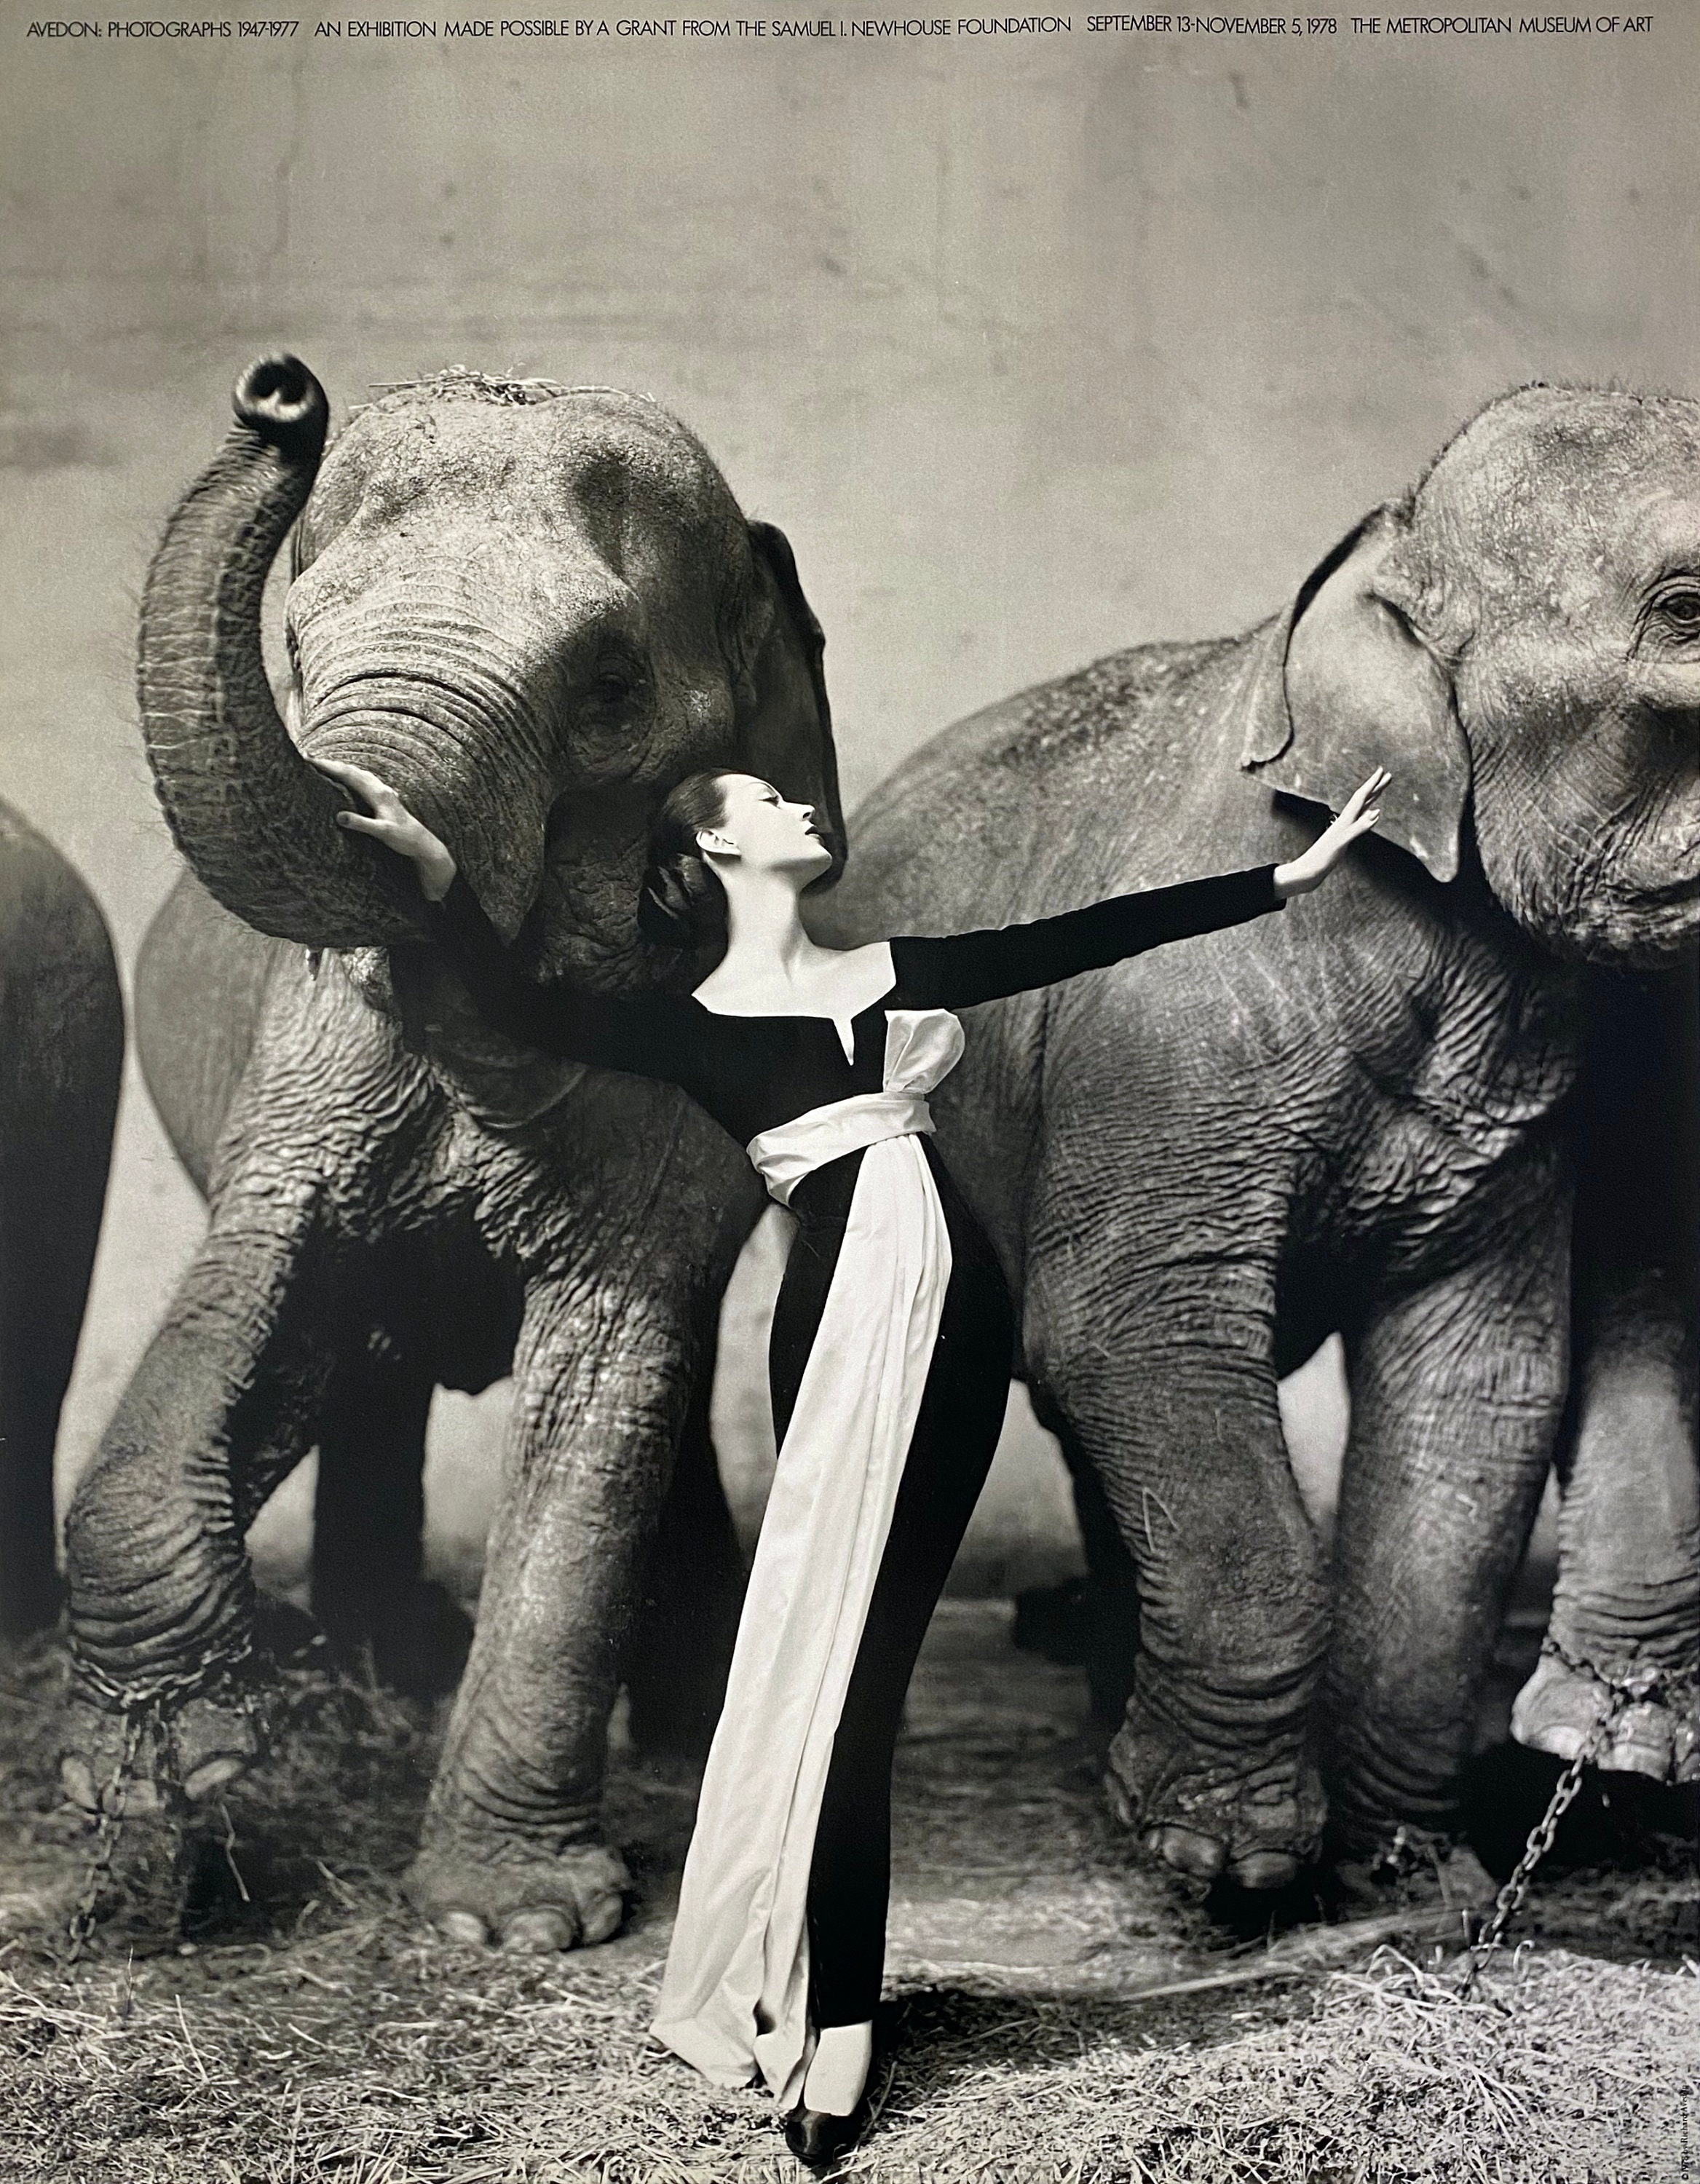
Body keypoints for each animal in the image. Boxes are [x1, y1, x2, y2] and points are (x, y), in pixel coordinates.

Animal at [60, 354, 845, 1952]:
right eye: (296, 647)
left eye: (608, 688)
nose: (280, 393)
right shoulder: (302, 1059)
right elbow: (259, 1287)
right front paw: (165, 1789)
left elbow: (611, 1365)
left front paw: (506, 1925)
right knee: (365, 1367)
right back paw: (384, 1663)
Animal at [814, 383, 1700, 1886]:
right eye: (1692, 608)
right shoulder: (1167, 1029)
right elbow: (1132, 1324)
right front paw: (1220, 1861)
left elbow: (1478, 1385)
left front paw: (1403, 1866)